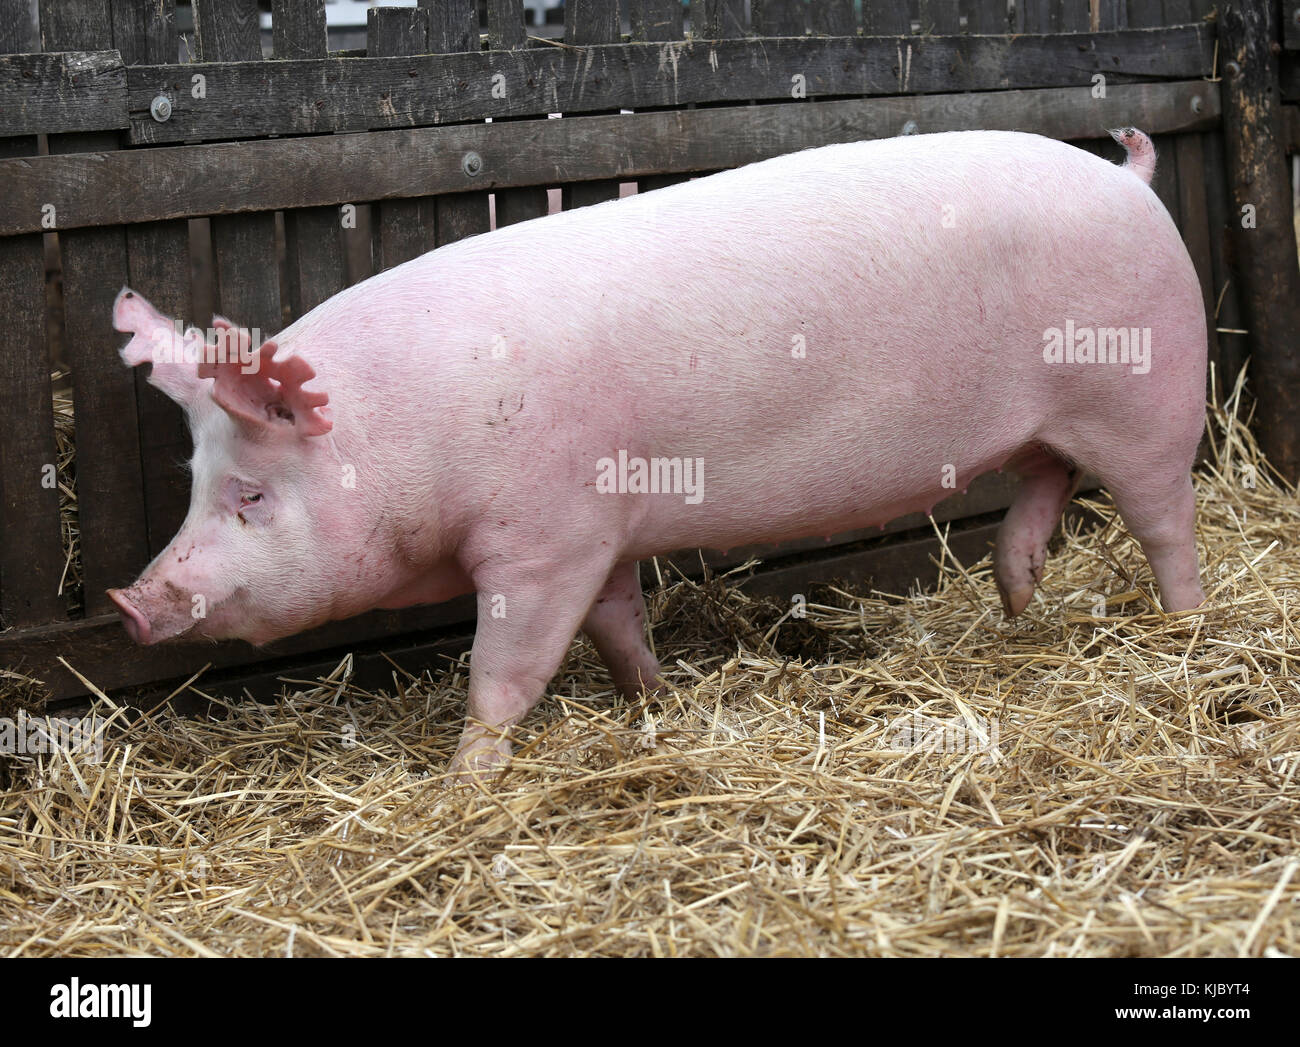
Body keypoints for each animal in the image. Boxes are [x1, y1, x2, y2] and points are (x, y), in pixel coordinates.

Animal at [108, 128, 1207, 776]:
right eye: (196, 482)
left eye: (253, 495)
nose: (131, 601)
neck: (415, 429)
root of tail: (1131, 178)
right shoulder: (600, 532)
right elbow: (617, 625)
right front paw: (657, 699)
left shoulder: (542, 537)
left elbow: (506, 669)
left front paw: (464, 780)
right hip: (1050, 423)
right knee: (1043, 483)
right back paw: (1018, 603)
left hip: (1149, 397)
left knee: (1164, 521)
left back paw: (1187, 630)